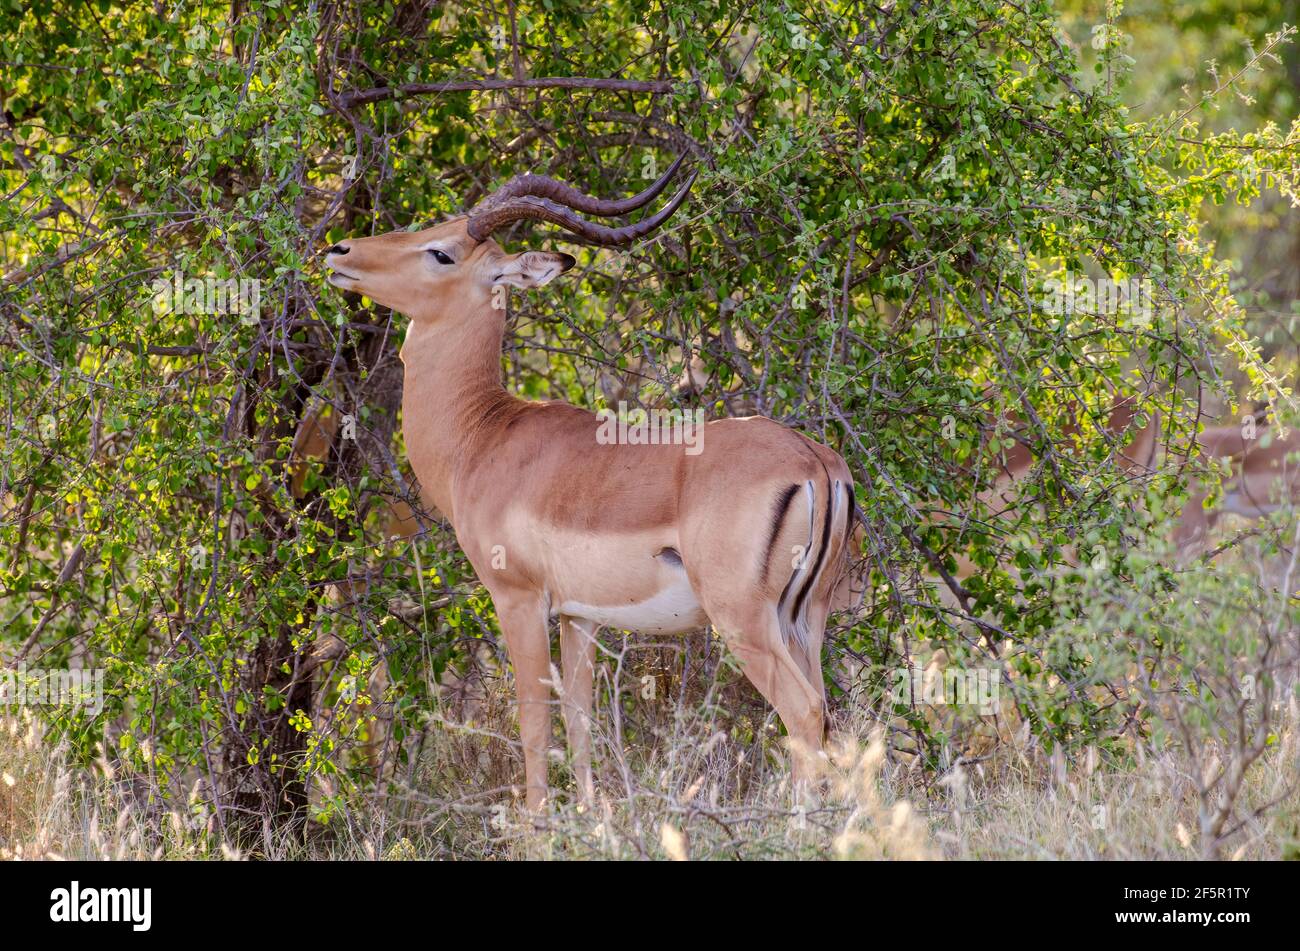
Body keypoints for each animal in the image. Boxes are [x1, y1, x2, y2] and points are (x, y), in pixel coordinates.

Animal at [323, 158, 859, 810]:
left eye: (442, 253)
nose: (340, 250)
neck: (484, 434)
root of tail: (815, 462)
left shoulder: (519, 598)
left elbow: (534, 719)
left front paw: (538, 822)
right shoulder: (579, 616)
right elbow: (581, 720)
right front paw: (588, 815)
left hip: (745, 621)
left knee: (803, 713)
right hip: (806, 618)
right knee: (831, 717)